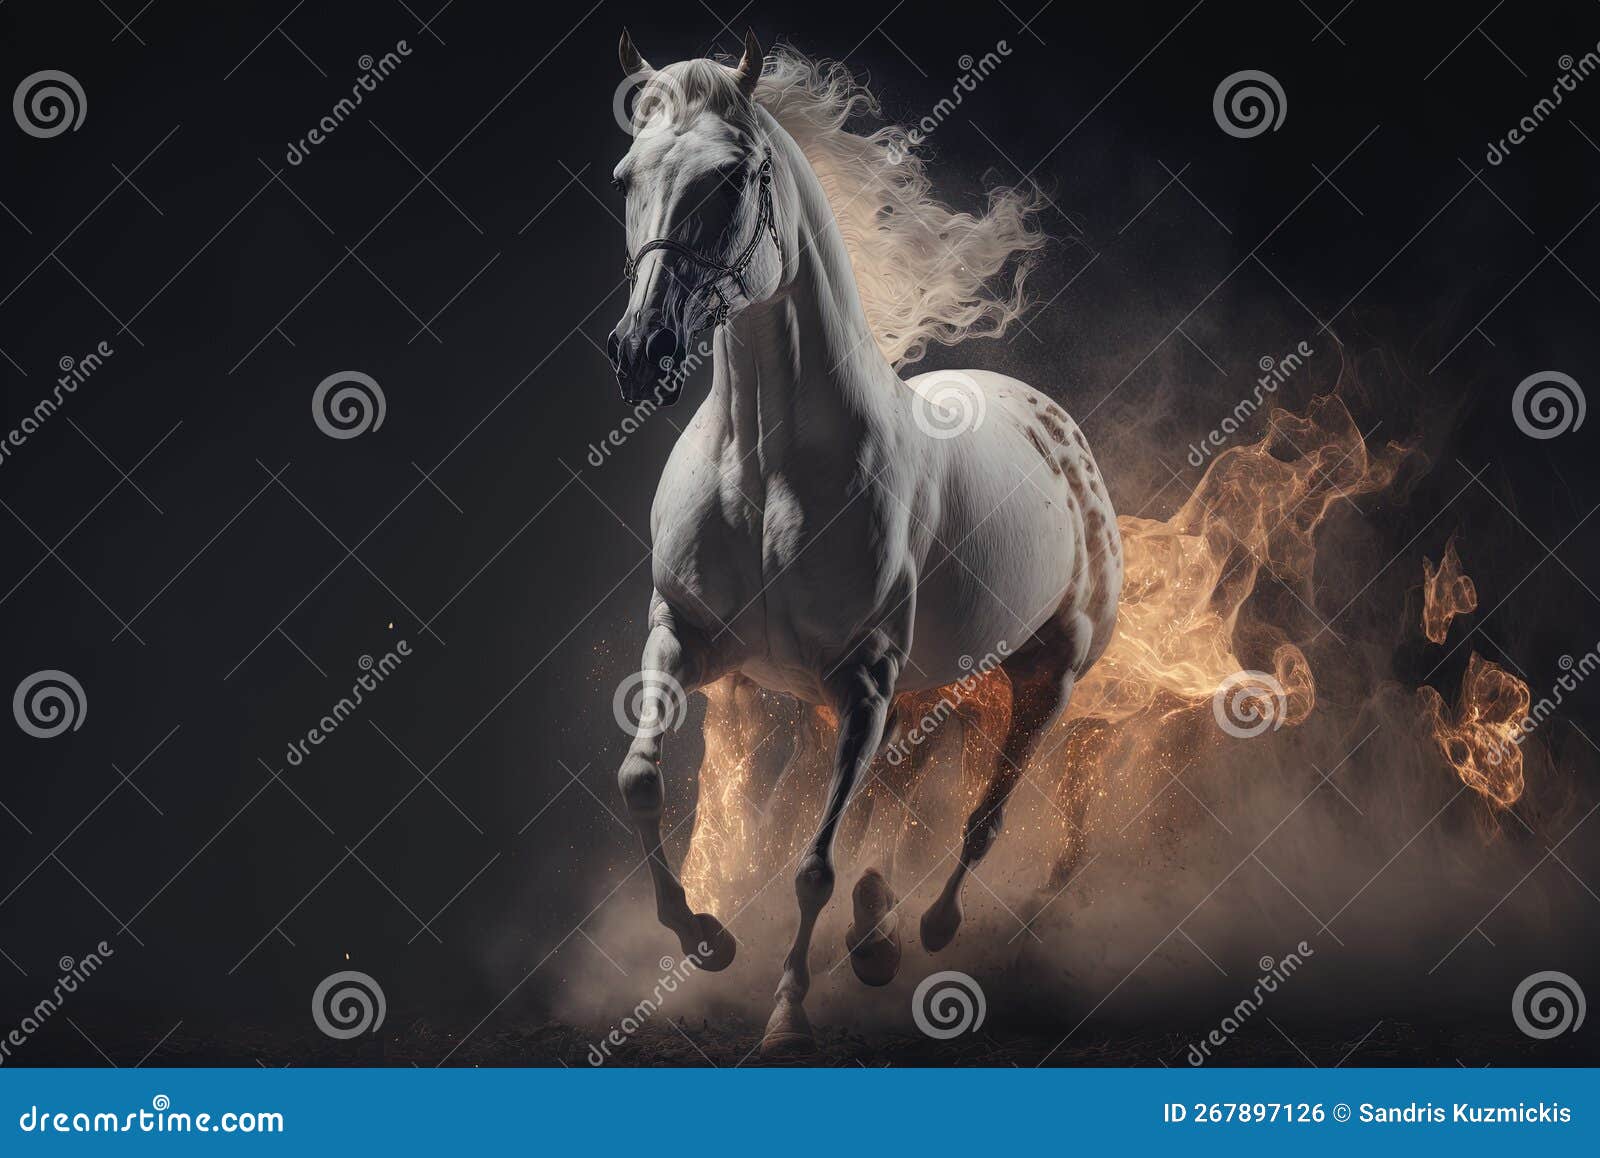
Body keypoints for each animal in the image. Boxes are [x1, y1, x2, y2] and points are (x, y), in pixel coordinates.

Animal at [604, 29, 1123, 1056]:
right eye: (628, 175)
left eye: (732, 178)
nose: (641, 348)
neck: (764, 467)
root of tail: (1052, 424)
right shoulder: (685, 637)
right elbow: (640, 780)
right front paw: (707, 940)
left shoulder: (865, 674)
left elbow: (814, 862)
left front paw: (787, 1016)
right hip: (920, 688)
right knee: (894, 795)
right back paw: (876, 934)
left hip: (1044, 673)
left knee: (982, 818)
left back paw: (931, 927)